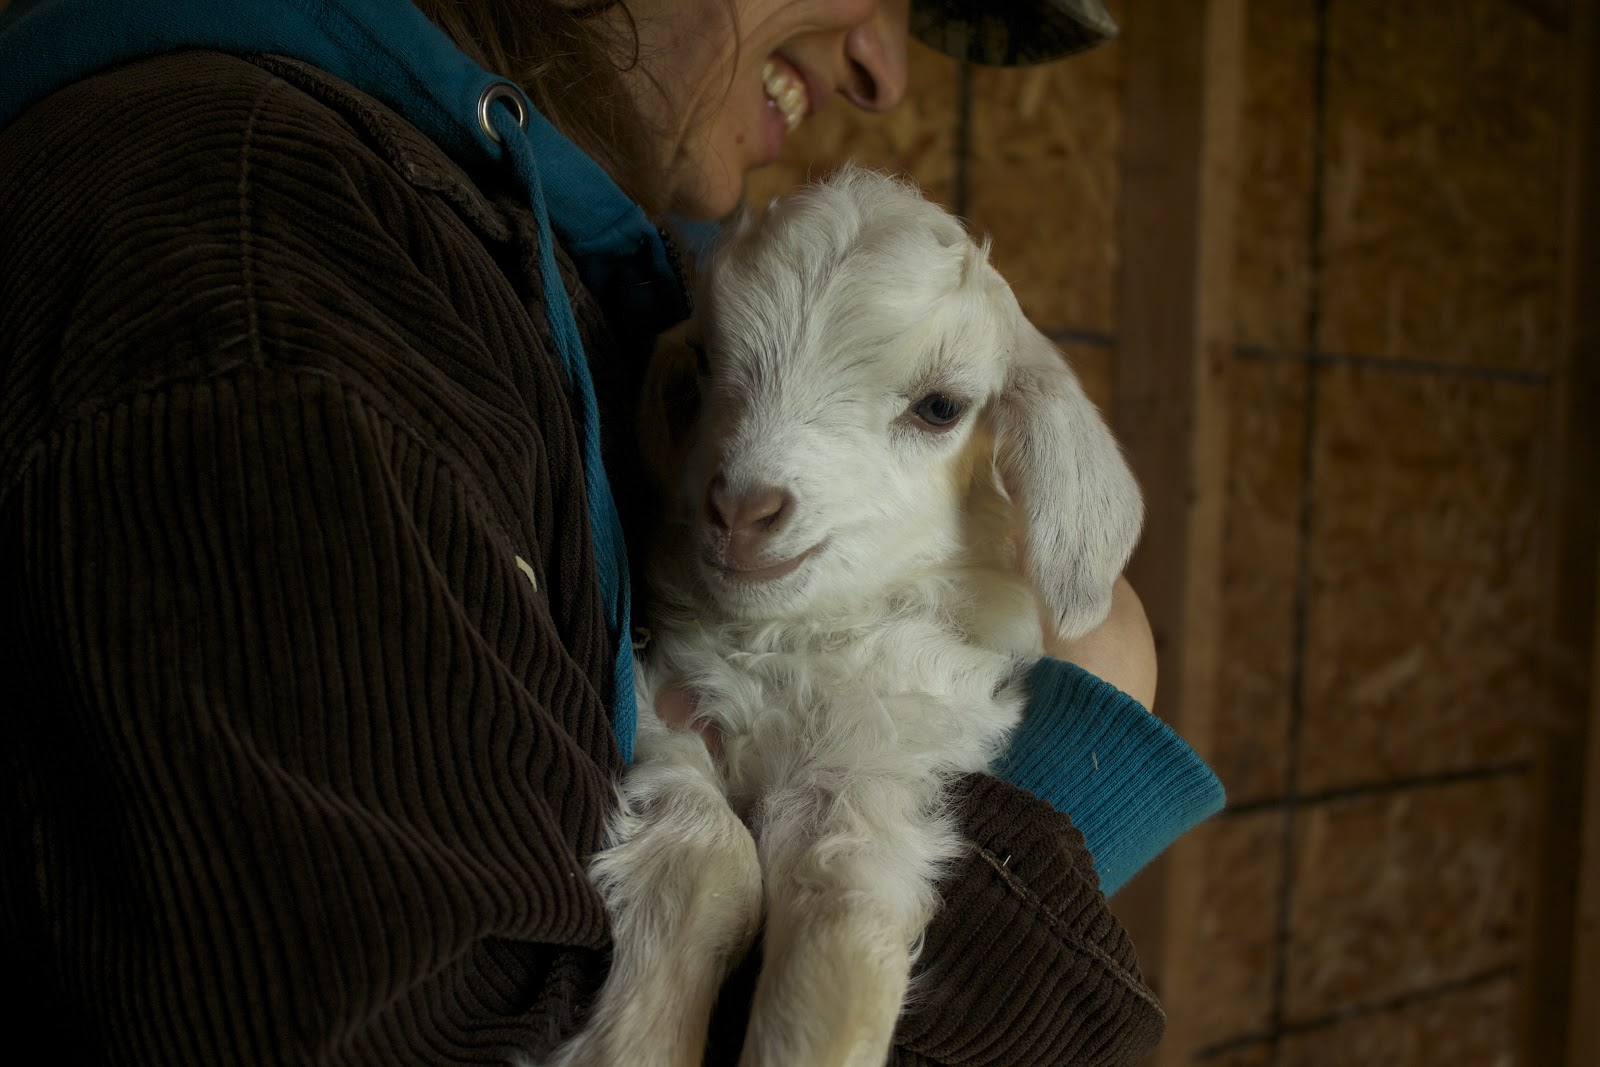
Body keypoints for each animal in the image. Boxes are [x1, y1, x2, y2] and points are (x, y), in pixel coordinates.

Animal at [548, 167, 1143, 1067]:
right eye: (705, 363)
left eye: (941, 407)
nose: (741, 507)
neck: (797, 643)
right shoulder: (669, 710)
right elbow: (712, 853)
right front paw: (632, 1042)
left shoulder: (875, 768)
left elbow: (845, 942)